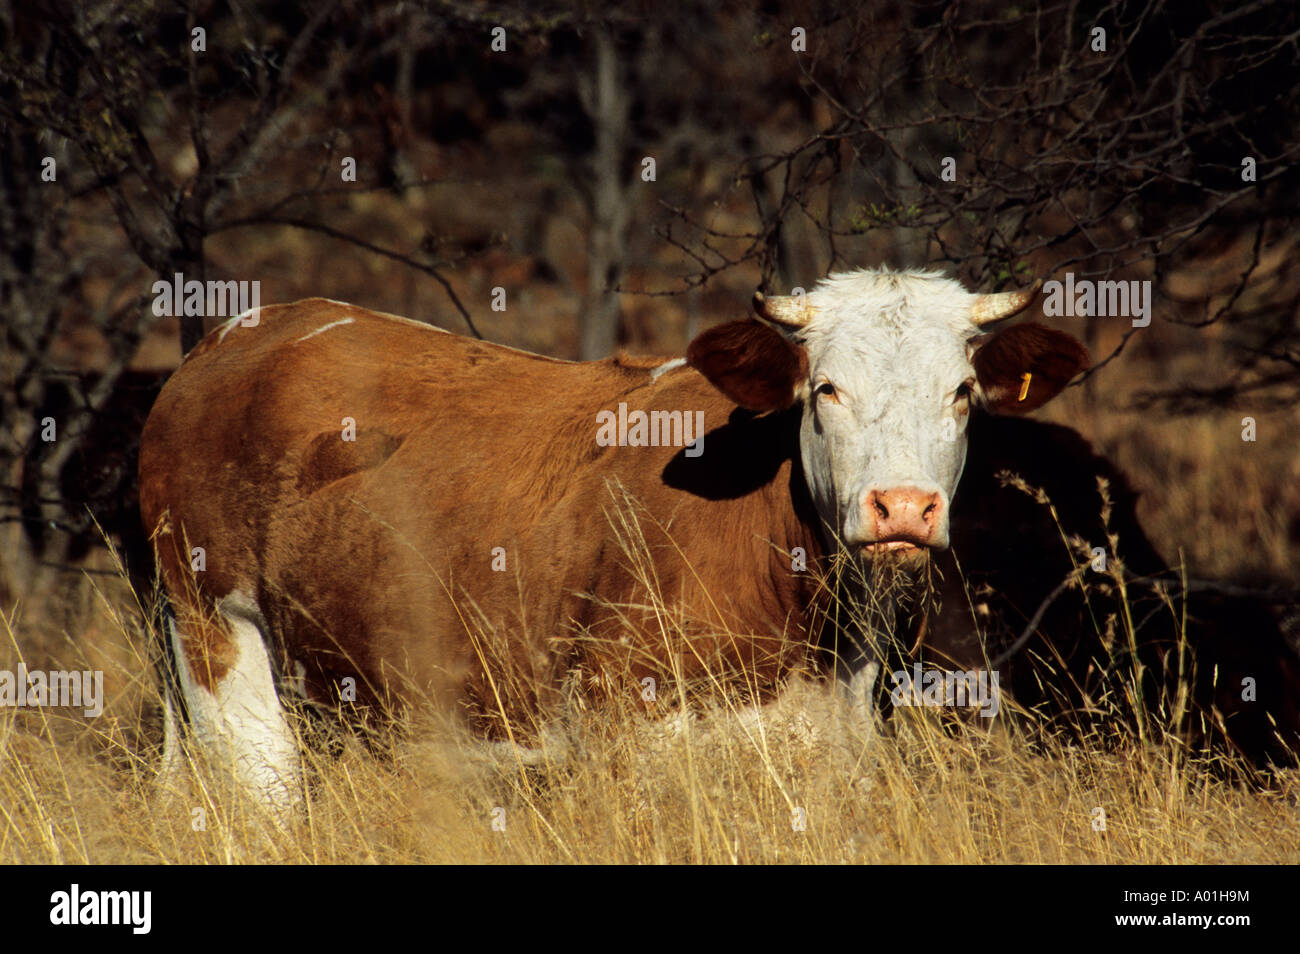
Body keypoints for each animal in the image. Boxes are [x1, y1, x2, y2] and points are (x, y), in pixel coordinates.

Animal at [137, 267, 1091, 808]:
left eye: (962, 391)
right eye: (825, 388)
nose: (901, 507)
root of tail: (237, 336)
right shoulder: (629, 733)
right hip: (218, 634)